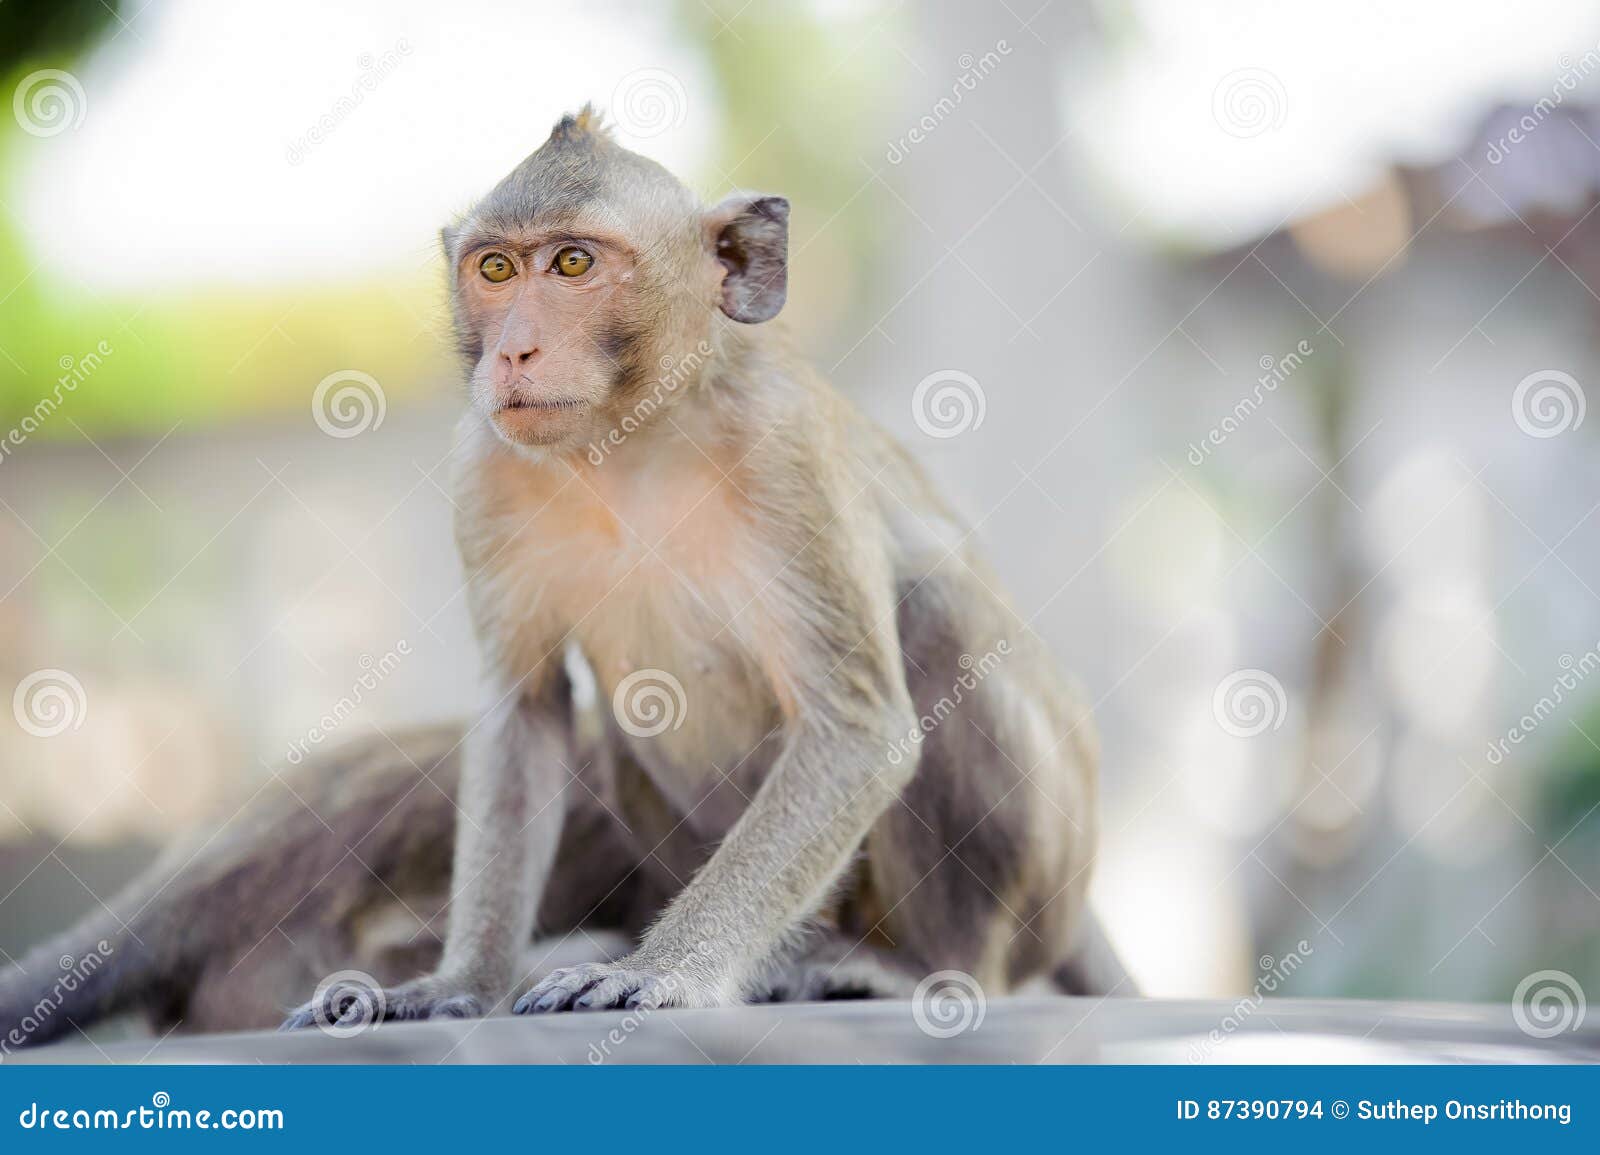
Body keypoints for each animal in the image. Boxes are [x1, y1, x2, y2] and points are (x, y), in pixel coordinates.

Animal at [0, 107, 1132, 1049]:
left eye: (575, 262)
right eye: (497, 270)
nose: (514, 351)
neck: (630, 439)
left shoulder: (786, 452)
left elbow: (857, 728)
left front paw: (664, 973)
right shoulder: (484, 468)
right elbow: (526, 712)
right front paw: (459, 982)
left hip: (1035, 886)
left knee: (936, 618)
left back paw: (920, 972)